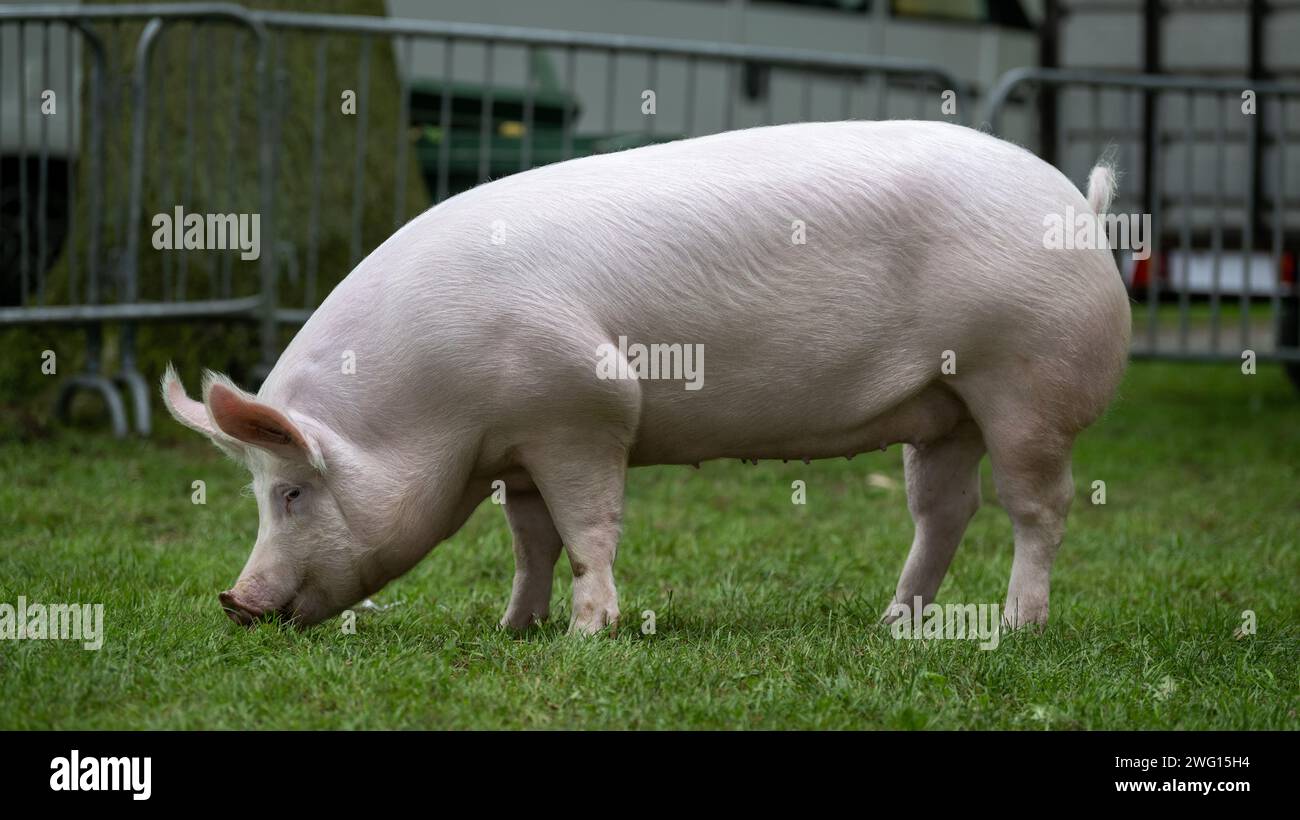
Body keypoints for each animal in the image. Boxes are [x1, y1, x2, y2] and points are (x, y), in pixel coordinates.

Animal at [162, 120, 1130, 635]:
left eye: (290, 493)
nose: (233, 599)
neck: (432, 409)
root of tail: (1079, 209)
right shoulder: (517, 446)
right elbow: (531, 541)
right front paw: (514, 627)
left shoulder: (581, 408)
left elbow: (589, 528)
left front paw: (588, 634)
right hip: (946, 405)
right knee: (946, 510)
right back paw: (892, 624)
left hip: (1025, 383)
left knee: (1038, 507)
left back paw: (1016, 625)